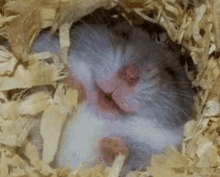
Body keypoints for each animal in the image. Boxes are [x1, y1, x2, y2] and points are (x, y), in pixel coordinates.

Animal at [32, 22, 194, 175]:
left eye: (171, 72)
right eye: (122, 34)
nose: (129, 74)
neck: (101, 114)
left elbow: (129, 154)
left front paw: (115, 147)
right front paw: (73, 87)